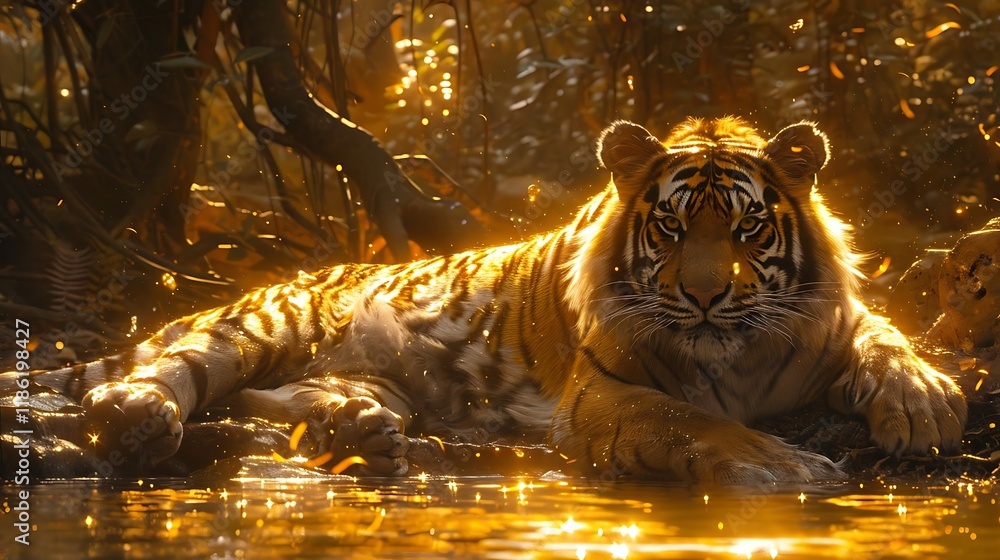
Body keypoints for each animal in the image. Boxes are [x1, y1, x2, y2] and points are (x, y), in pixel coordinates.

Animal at [14, 117, 967, 485]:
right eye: (669, 229)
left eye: (745, 229)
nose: (703, 297)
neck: (736, 358)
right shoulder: (600, 394)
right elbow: (693, 422)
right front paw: (788, 468)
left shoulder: (833, 323)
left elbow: (886, 337)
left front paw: (923, 405)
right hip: (262, 321)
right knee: (180, 371)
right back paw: (137, 414)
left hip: (372, 374)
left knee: (275, 398)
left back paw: (364, 430)